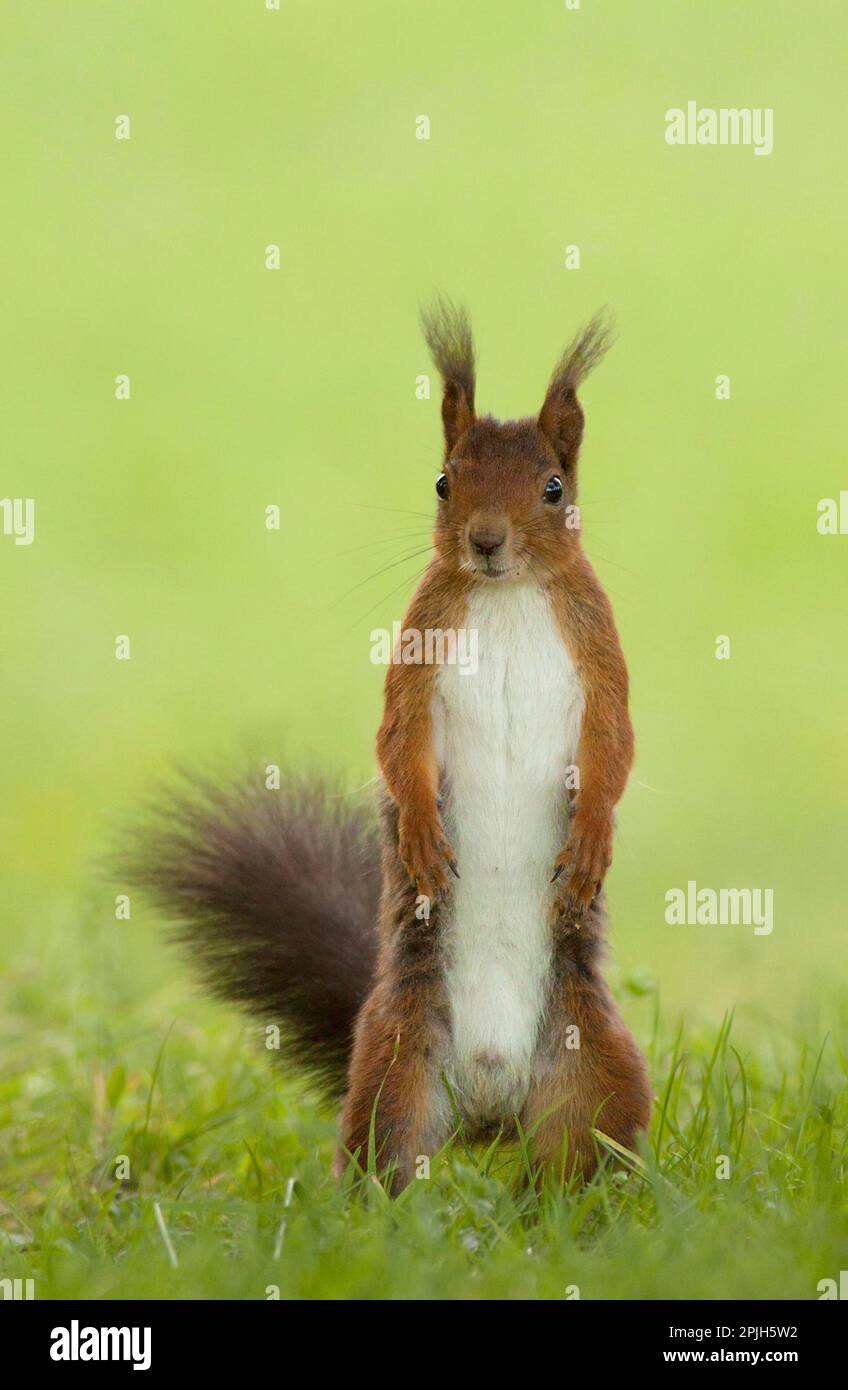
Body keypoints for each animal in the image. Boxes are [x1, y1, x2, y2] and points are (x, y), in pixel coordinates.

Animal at [128, 299, 651, 1193]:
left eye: (553, 489)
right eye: (443, 482)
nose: (485, 541)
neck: (507, 596)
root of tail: (490, 1114)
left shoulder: (600, 651)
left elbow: (615, 744)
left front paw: (591, 838)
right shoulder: (415, 651)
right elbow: (397, 740)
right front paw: (419, 831)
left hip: (602, 1070)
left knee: (578, 1162)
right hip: (393, 1063)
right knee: (385, 1155)